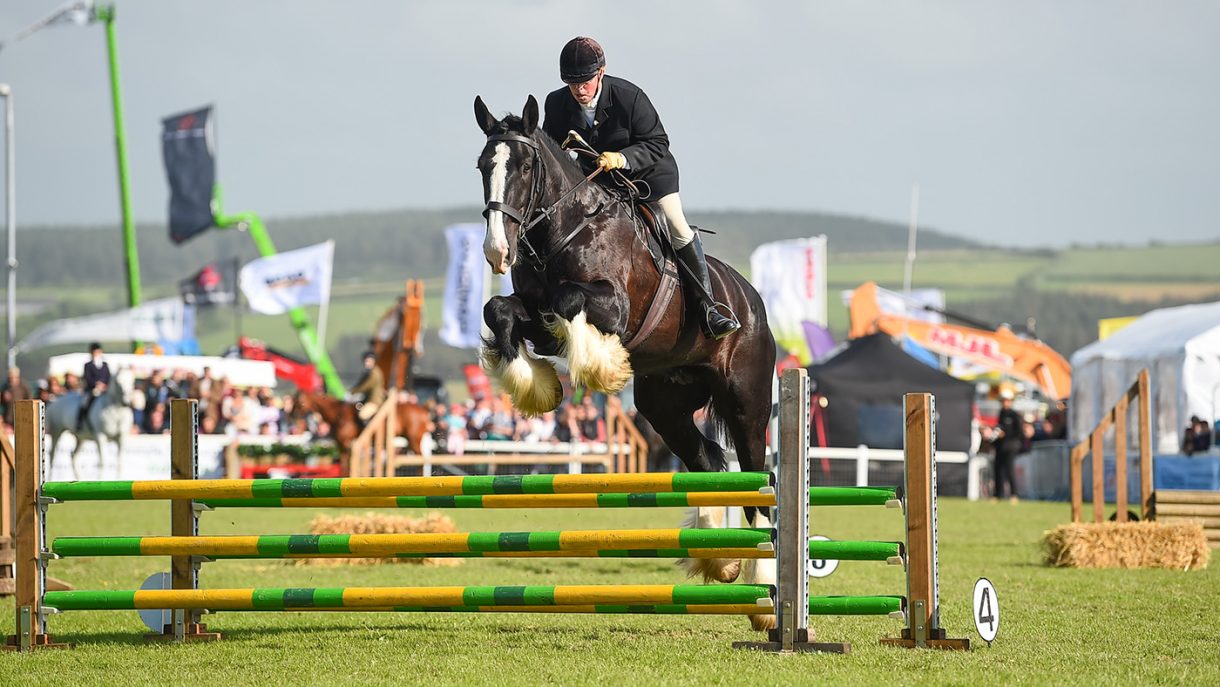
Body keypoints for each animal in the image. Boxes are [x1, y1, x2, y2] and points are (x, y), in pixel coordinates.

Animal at [298, 393, 433, 476]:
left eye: (299, 402)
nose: (294, 418)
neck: (338, 414)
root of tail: (424, 409)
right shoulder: (343, 444)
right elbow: (345, 463)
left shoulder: (344, 443)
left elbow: (345, 463)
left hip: (414, 440)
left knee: (421, 459)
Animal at [473, 96, 778, 630]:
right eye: (481, 167)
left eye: (526, 166)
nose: (496, 250)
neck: (565, 229)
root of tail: (752, 302)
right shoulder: (537, 318)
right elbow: (500, 311)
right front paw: (536, 385)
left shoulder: (611, 307)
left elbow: (570, 298)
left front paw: (601, 364)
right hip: (664, 407)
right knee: (707, 459)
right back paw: (719, 559)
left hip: (747, 403)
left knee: (755, 480)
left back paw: (762, 591)